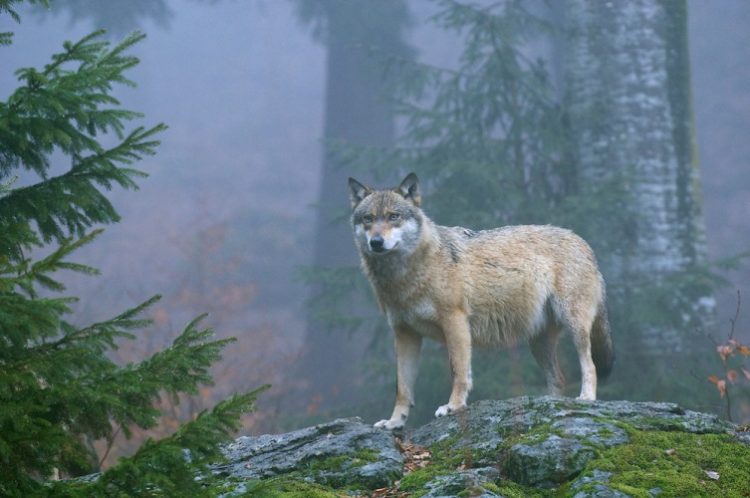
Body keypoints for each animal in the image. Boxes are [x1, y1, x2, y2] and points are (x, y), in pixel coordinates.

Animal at [348, 173, 614, 429]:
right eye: (368, 219)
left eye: (393, 216)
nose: (376, 242)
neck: (407, 276)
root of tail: (583, 242)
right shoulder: (405, 334)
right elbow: (402, 388)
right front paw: (395, 422)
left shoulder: (455, 321)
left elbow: (458, 372)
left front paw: (453, 407)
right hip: (538, 343)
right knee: (558, 378)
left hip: (575, 326)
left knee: (589, 365)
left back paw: (586, 398)